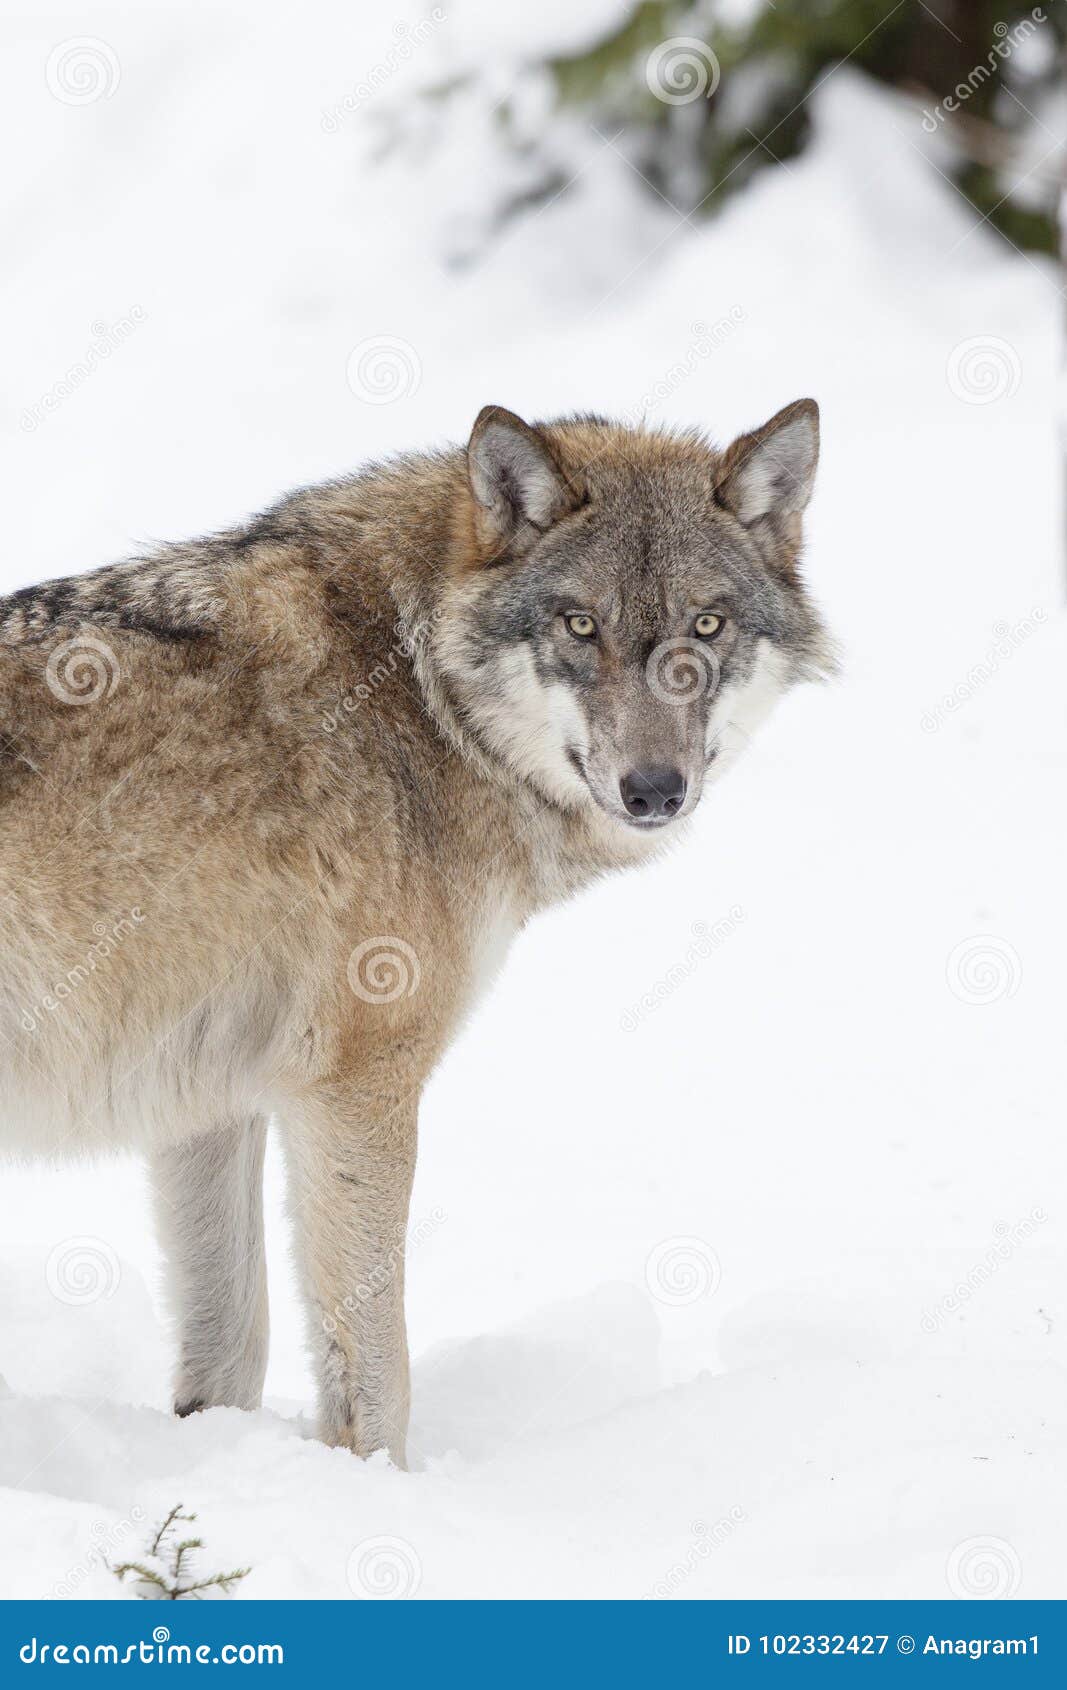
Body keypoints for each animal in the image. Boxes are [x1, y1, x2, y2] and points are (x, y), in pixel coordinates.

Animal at [0, 400, 830, 1464]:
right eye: (580, 625)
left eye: (706, 626)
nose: (654, 790)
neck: (419, 690)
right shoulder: (358, 1083)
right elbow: (374, 1366)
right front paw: (372, 1487)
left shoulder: (207, 1105)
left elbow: (228, 1358)